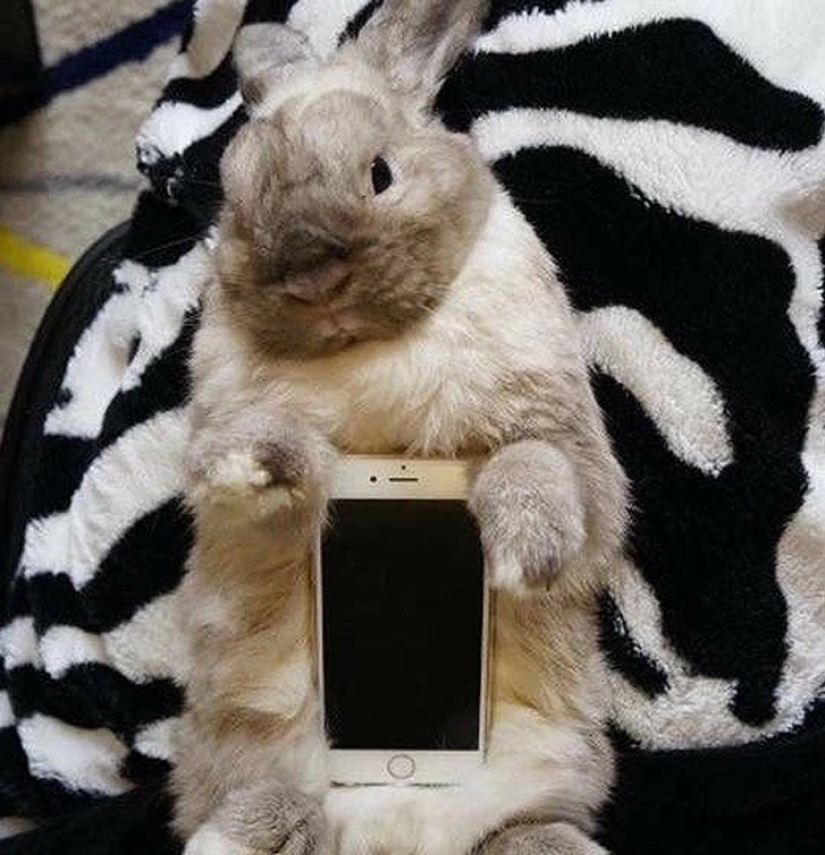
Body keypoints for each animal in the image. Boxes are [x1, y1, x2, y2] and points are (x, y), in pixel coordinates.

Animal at [172, 1, 629, 854]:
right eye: (236, 203)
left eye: (380, 173)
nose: (313, 278)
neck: (371, 346)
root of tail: (398, 833)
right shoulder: (259, 524)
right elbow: (276, 475)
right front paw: (246, 461)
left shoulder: (571, 449)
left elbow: (535, 464)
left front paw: (526, 549)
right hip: (251, 768)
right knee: (266, 809)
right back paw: (229, 836)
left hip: (540, 794)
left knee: (527, 831)